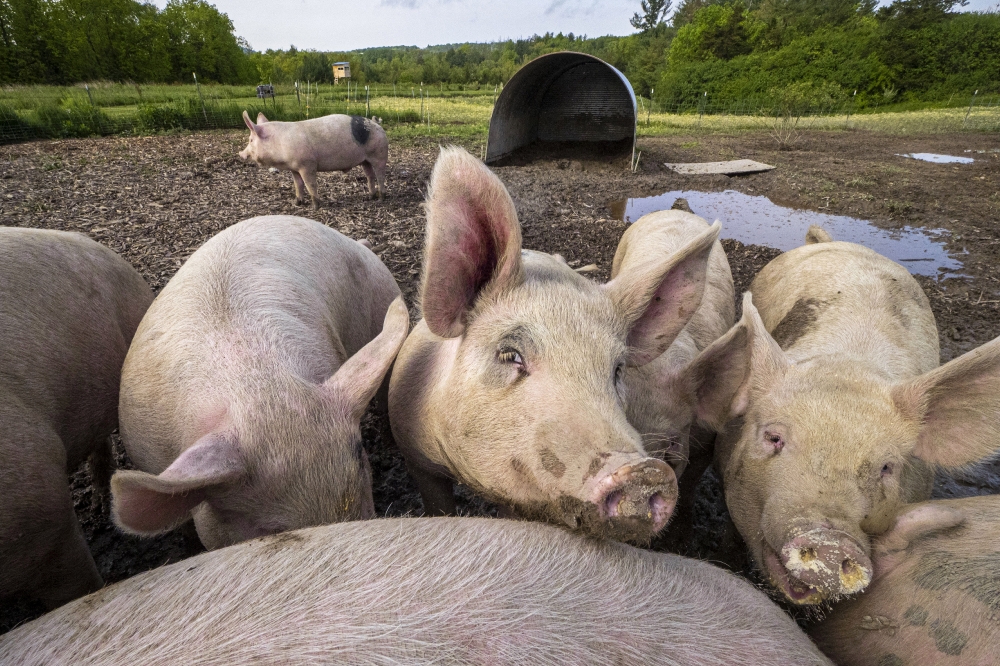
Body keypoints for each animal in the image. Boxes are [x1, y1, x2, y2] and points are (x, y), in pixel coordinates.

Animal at [239, 111, 388, 206]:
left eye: (251, 140)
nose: (240, 154)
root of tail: (377, 125)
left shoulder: (307, 165)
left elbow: (310, 184)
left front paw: (315, 206)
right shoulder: (294, 168)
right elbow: (298, 185)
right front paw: (296, 203)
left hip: (380, 154)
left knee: (380, 175)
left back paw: (381, 198)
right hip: (365, 160)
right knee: (370, 175)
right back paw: (369, 197)